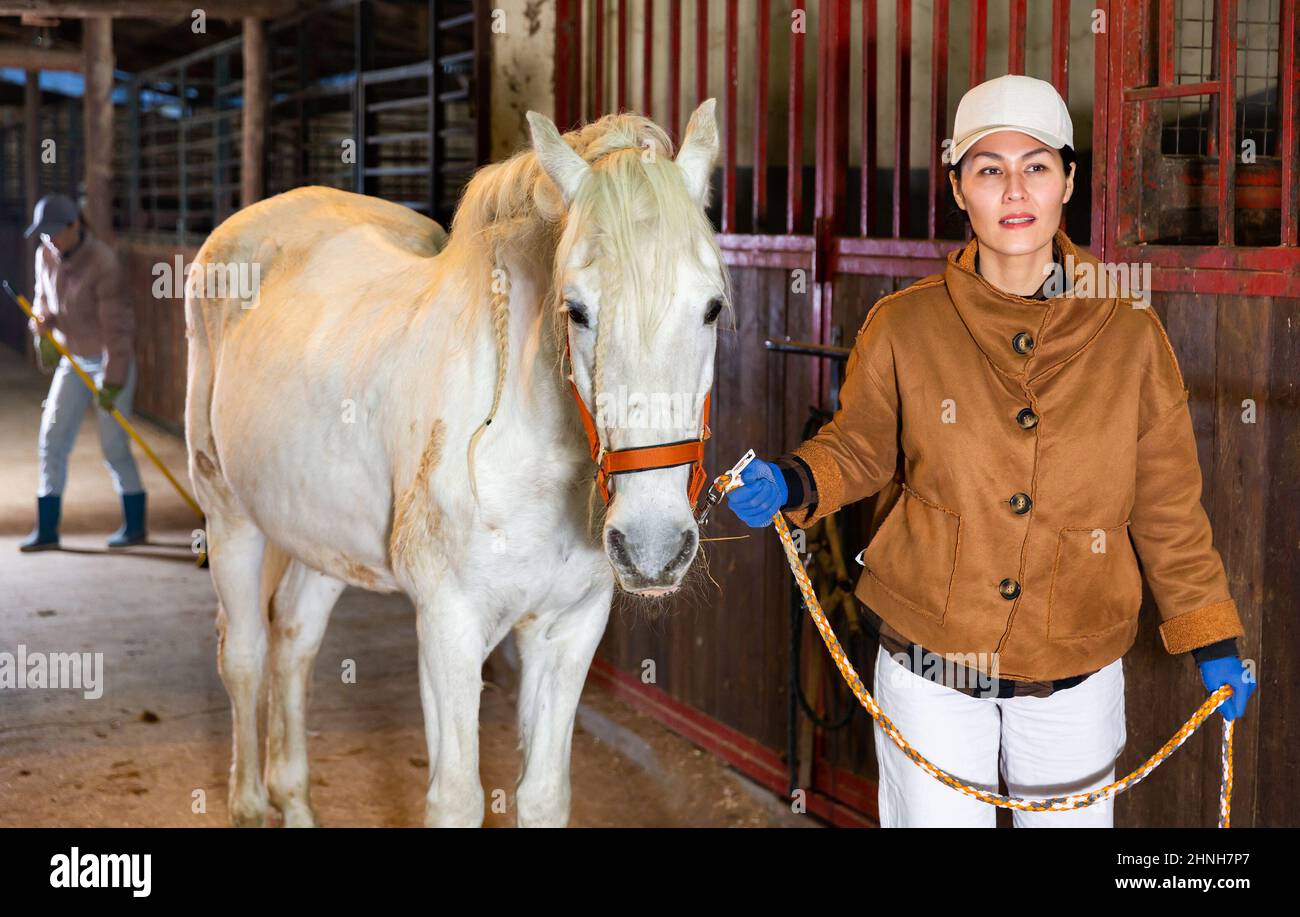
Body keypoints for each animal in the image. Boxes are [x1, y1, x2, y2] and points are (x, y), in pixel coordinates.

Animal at [183, 100, 731, 827]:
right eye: (577, 310)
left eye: (713, 307)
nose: (651, 546)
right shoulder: (449, 625)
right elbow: (457, 797)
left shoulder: (567, 629)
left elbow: (544, 795)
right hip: (231, 518)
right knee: (243, 654)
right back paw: (249, 800)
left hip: (322, 538)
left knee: (293, 640)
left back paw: (294, 799)